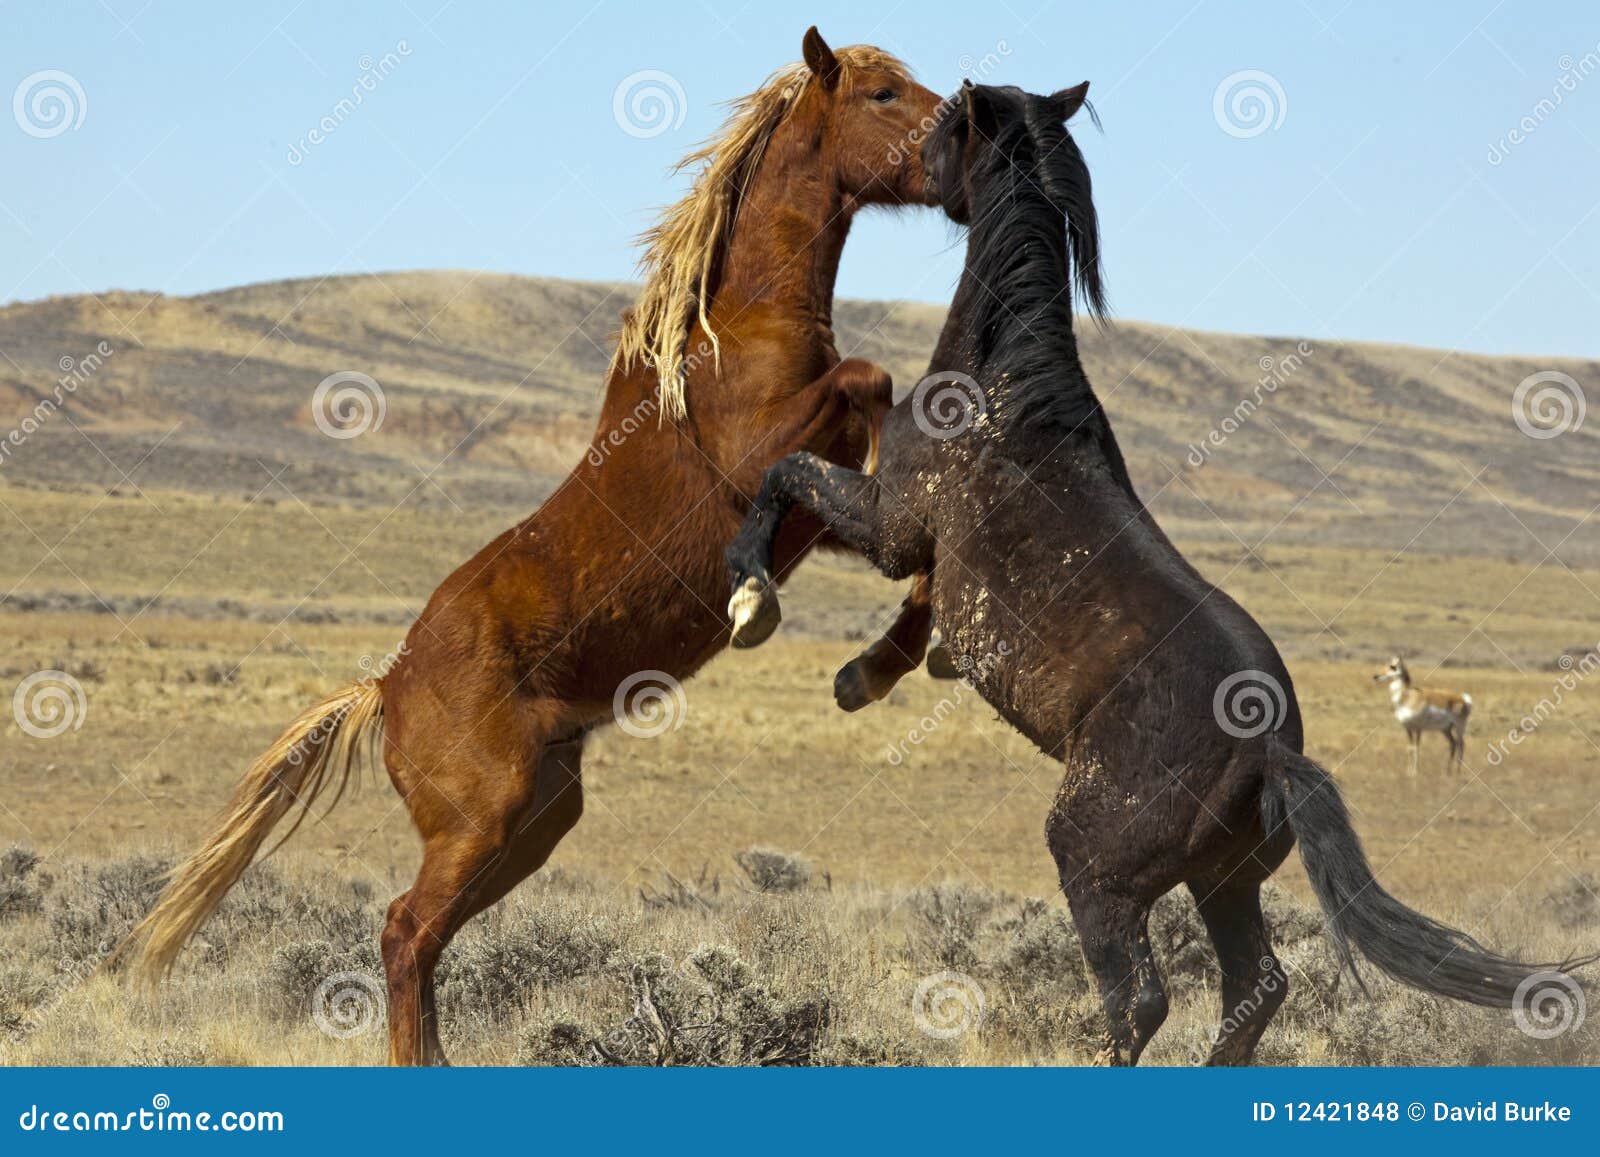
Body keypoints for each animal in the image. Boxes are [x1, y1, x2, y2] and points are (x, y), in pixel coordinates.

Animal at [118, 28, 948, 1066]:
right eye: (882, 95)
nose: (963, 140)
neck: (738, 326)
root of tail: (385, 687)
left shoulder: (819, 510)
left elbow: (909, 525)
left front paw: (883, 661)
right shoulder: (761, 456)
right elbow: (868, 382)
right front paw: (758, 606)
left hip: (537, 819)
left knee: (422, 937)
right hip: (489, 816)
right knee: (402, 928)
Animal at [722, 80, 1591, 1065]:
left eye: (946, 124)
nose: (912, 171)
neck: (1001, 388)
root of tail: (1269, 748)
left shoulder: (891, 522)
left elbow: (787, 473)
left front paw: (750, 599)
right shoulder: (917, 547)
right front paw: (864, 669)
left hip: (1097, 864)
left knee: (1138, 997)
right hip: (1224, 880)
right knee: (1255, 986)